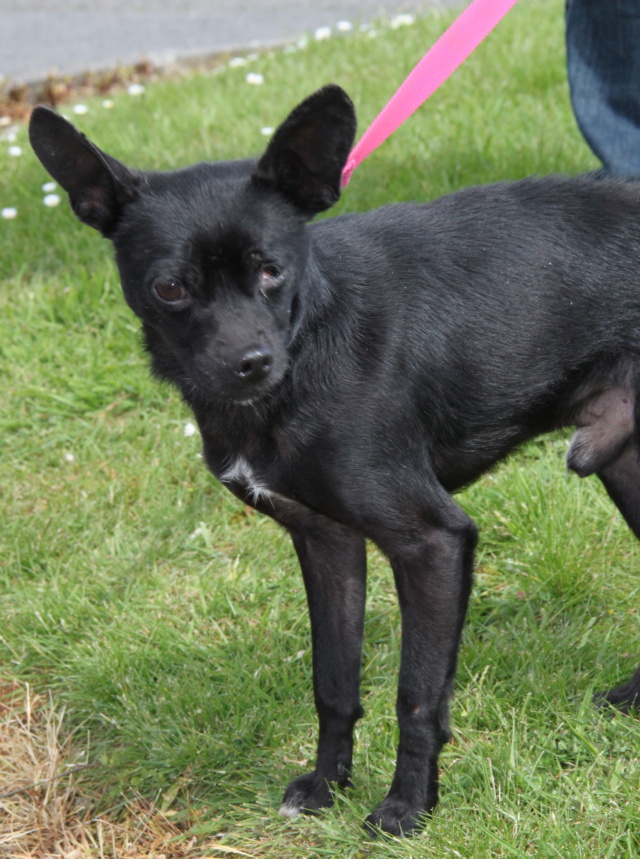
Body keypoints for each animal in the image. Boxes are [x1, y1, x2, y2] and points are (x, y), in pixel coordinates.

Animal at [28, 85, 640, 832]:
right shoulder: (327, 543)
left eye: (272, 270)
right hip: (626, 465)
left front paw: (407, 807)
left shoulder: (432, 542)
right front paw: (328, 787)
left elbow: (417, 695)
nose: (250, 362)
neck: (306, 345)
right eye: (170, 287)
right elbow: (333, 681)